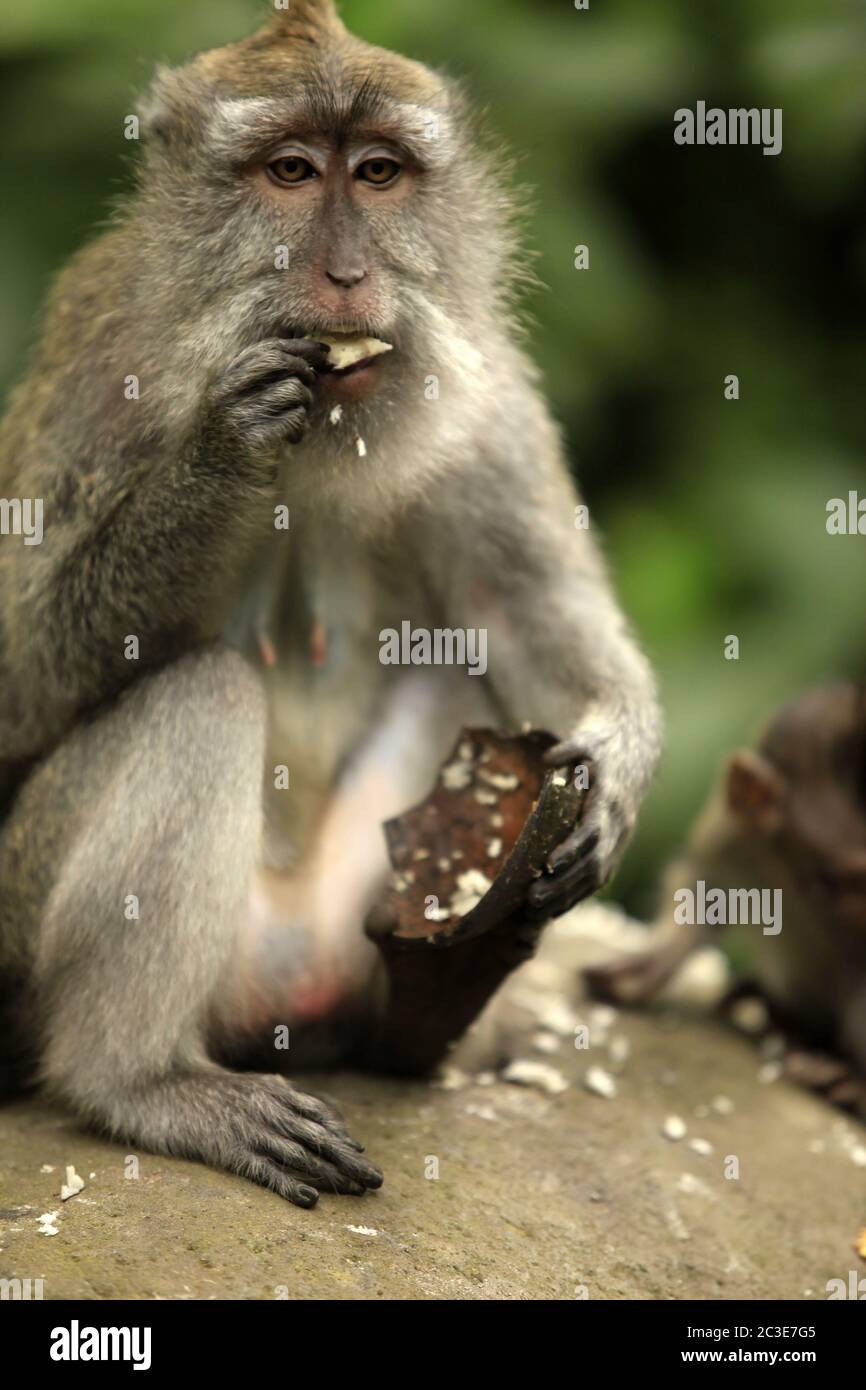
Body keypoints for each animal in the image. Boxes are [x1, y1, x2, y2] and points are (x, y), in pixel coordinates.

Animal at [0, 0, 661, 1206]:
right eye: (292, 172)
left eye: (381, 172)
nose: (349, 275)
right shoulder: (99, 366)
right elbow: (21, 679)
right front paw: (219, 448)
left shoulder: (484, 394)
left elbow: (530, 610)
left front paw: (613, 778)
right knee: (204, 698)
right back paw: (140, 1081)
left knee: (454, 668)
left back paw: (439, 999)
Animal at [586, 684, 866, 1097]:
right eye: (845, 879)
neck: (787, 869)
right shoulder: (733, 829)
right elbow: (703, 886)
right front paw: (654, 960)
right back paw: (780, 1016)